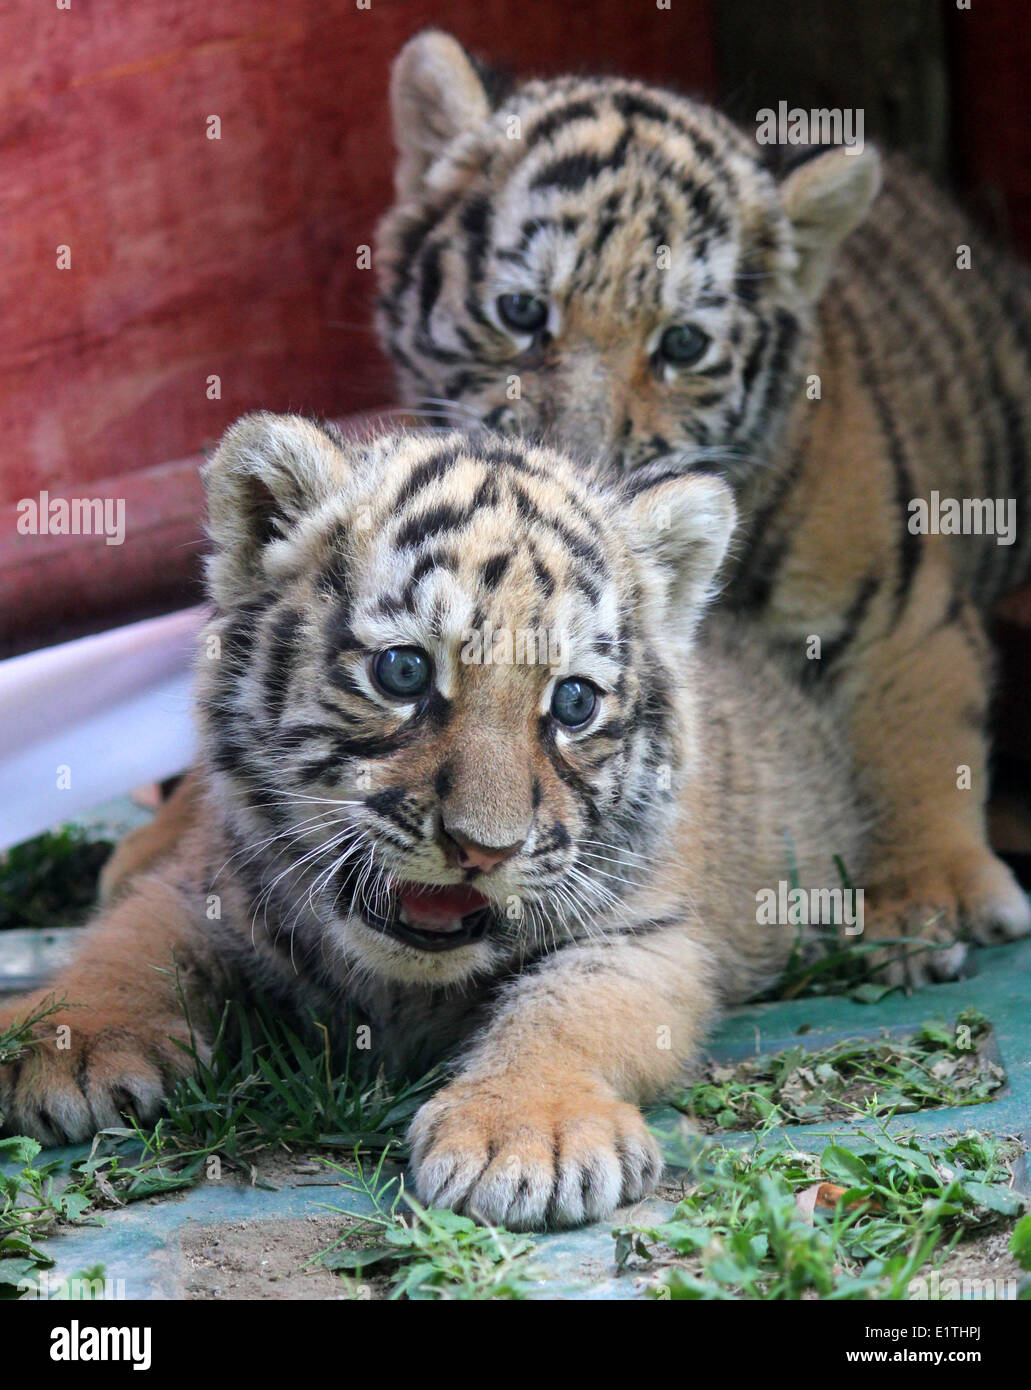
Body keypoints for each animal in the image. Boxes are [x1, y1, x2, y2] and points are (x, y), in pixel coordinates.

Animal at [0, 414, 866, 1229]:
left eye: (573, 703)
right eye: (403, 670)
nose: (482, 850)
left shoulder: (643, 934)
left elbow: (571, 1013)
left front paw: (527, 1132)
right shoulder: (212, 881)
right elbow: (127, 945)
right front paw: (59, 1042)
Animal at [102, 30, 1031, 986]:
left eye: (681, 344)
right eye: (520, 312)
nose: (574, 464)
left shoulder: (901, 611)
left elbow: (922, 742)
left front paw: (927, 897)